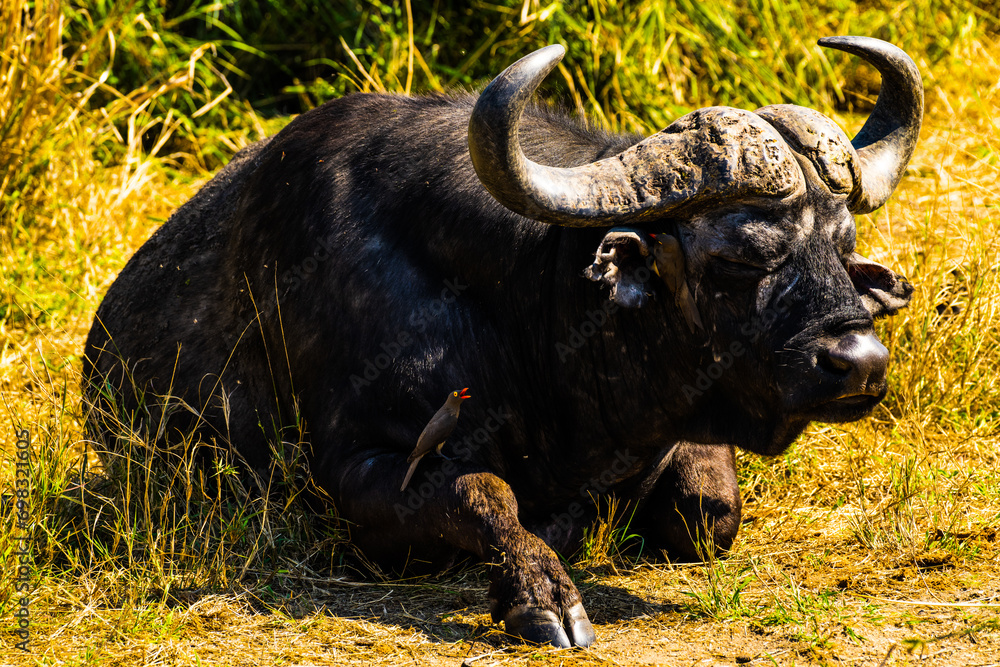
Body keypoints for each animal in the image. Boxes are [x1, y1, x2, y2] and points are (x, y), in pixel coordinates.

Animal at [84, 36, 921, 647]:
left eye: (842, 246)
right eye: (741, 255)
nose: (859, 363)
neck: (532, 314)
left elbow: (709, 509)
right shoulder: (357, 466)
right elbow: (484, 492)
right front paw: (544, 593)